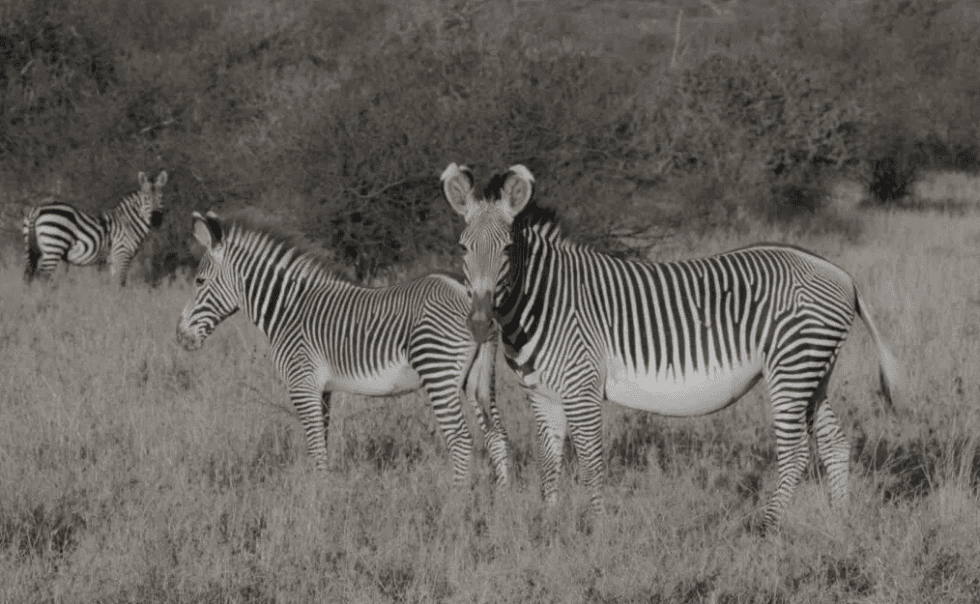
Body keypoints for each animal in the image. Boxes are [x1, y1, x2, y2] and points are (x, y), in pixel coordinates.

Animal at [22, 170, 168, 285]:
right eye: (146, 198)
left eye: (161, 197)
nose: (156, 219)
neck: (128, 223)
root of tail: (38, 208)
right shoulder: (122, 254)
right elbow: (121, 283)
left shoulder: (113, 259)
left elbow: (114, 284)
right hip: (54, 246)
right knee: (43, 277)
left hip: (33, 249)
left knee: (28, 276)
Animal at [176, 210, 510, 487]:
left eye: (199, 281)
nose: (180, 337)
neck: (288, 308)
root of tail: (468, 294)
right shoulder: (322, 389)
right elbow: (321, 443)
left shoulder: (302, 384)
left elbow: (315, 448)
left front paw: (320, 503)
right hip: (476, 378)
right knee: (497, 434)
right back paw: (504, 501)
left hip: (437, 370)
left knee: (461, 440)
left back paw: (456, 501)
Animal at [442, 163, 902, 529]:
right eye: (463, 247)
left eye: (507, 249)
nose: (479, 323)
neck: (544, 299)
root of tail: (841, 274)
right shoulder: (542, 394)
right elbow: (548, 463)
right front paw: (549, 525)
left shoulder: (582, 388)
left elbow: (591, 462)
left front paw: (596, 529)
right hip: (814, 372)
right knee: (835, 443)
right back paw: (839, 520)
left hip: (792, 369)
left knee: (795, 452)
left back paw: (766, 527)